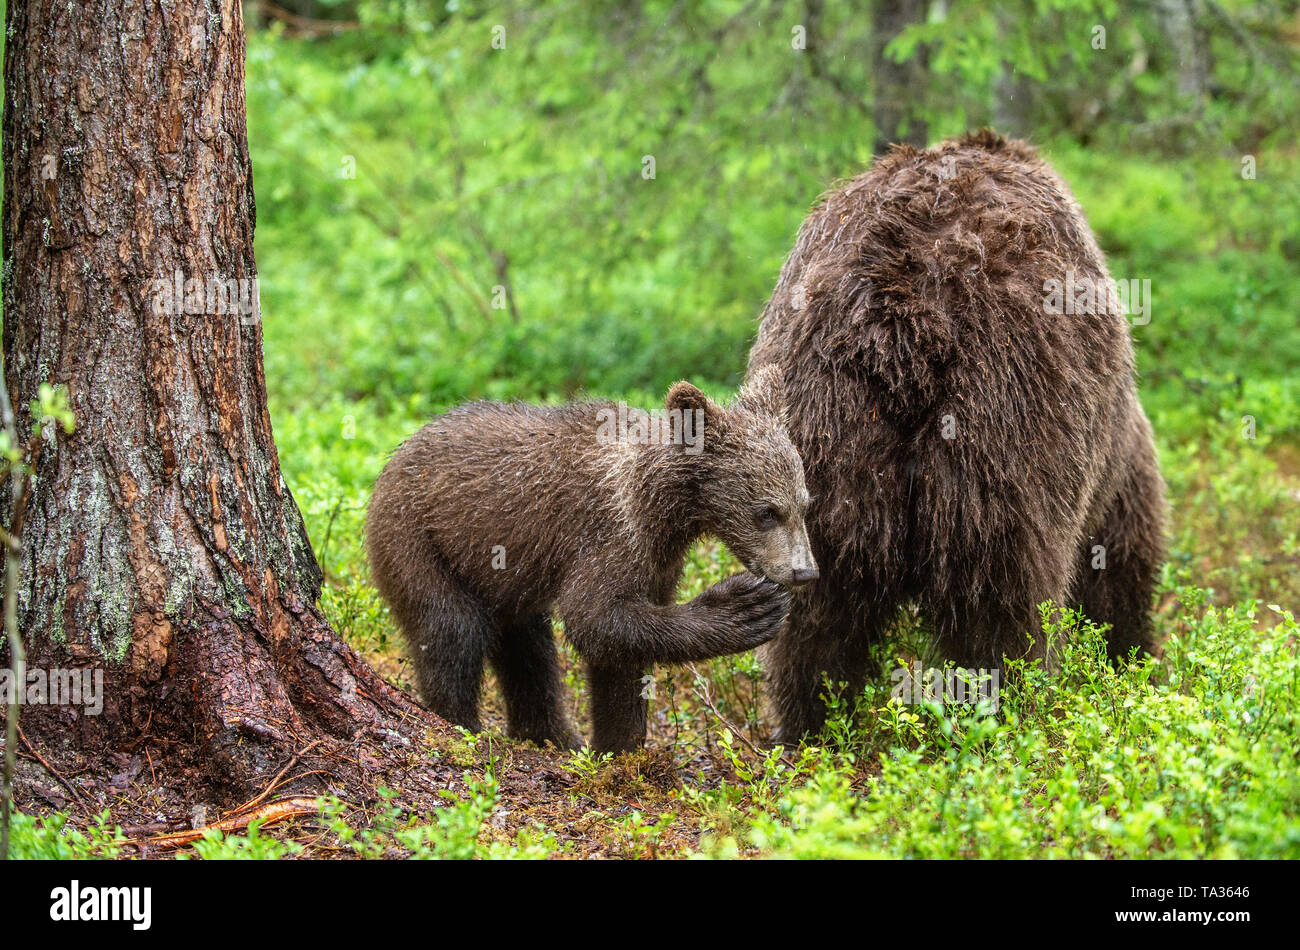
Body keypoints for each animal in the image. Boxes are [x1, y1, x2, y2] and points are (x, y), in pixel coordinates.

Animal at [365, 368, 817, 754]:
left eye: (803, 504)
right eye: (766, 512)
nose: (804, 571)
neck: (666, 510)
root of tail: (395, 455)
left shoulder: (656, 559)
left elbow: (619, 657)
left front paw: (619, 745)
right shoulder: (607, 533)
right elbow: (597, 618)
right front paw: (743, 607)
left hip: (502, 576)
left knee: (529, 652)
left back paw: (553, 735)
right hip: (418, 539)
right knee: (451, 630)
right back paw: (462, 726)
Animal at [746, 130, 1167, 743]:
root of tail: (901, 316)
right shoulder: (1113, 454)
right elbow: (1117, 561)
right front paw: (1127, 655)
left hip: (821, 430)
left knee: (814, 615)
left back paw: (811, 726)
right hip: (1008, 416)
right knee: (1003, 606)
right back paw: (1013, 715)